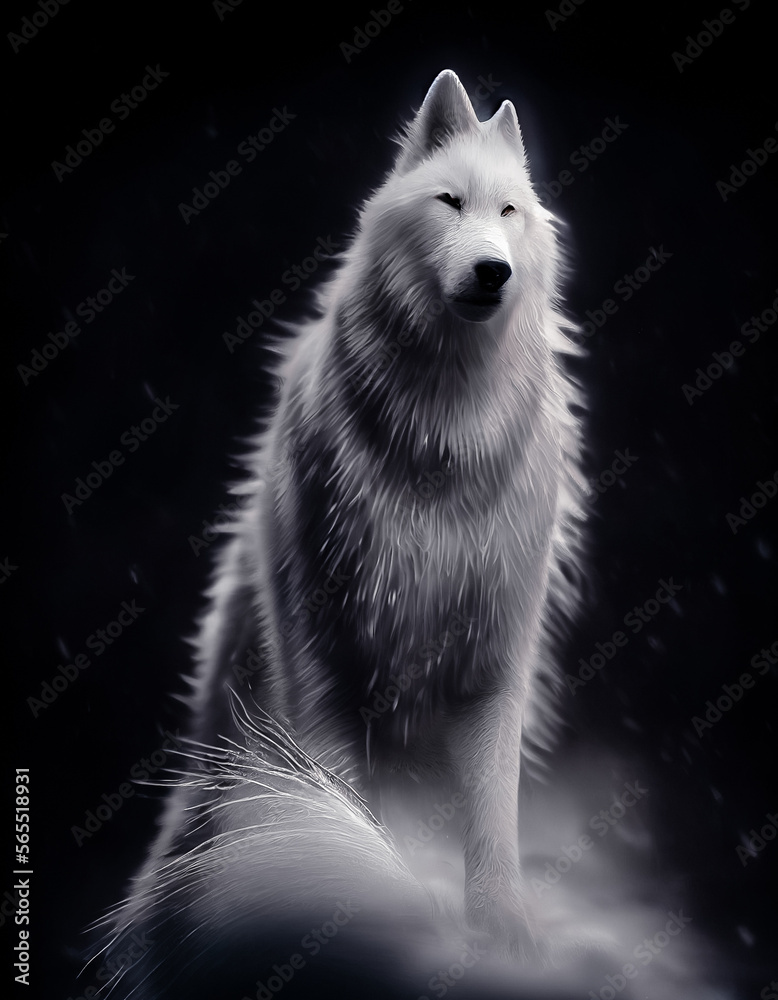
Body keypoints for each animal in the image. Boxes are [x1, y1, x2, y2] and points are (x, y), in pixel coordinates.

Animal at [95, 70, 586, 997]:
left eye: (509, 210)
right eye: (449, 201)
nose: (493, 271)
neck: (439, 441)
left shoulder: (491, 660)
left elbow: (490, 811)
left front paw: (503, 933)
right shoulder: (322, 665)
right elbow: (341, 797)